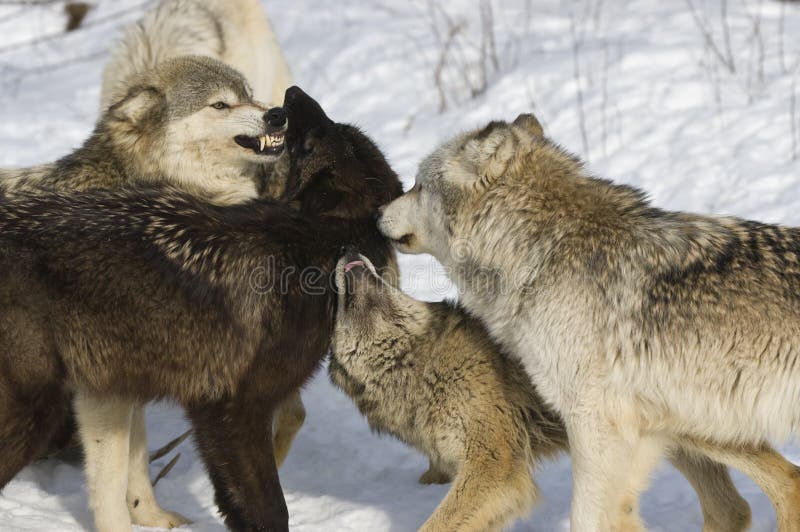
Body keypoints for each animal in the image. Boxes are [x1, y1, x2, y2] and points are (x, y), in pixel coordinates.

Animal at [0, 86, 401, 532]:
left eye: (323, 134)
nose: (291, 95)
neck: (317, 245)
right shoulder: (230, 410)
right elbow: (269, 509)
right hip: (37, 412)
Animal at [378, 113, 800, 531]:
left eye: (417, 185)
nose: (377, 212)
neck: (542, 252)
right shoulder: (637, 434)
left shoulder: (592, 424)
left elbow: (585, 517)